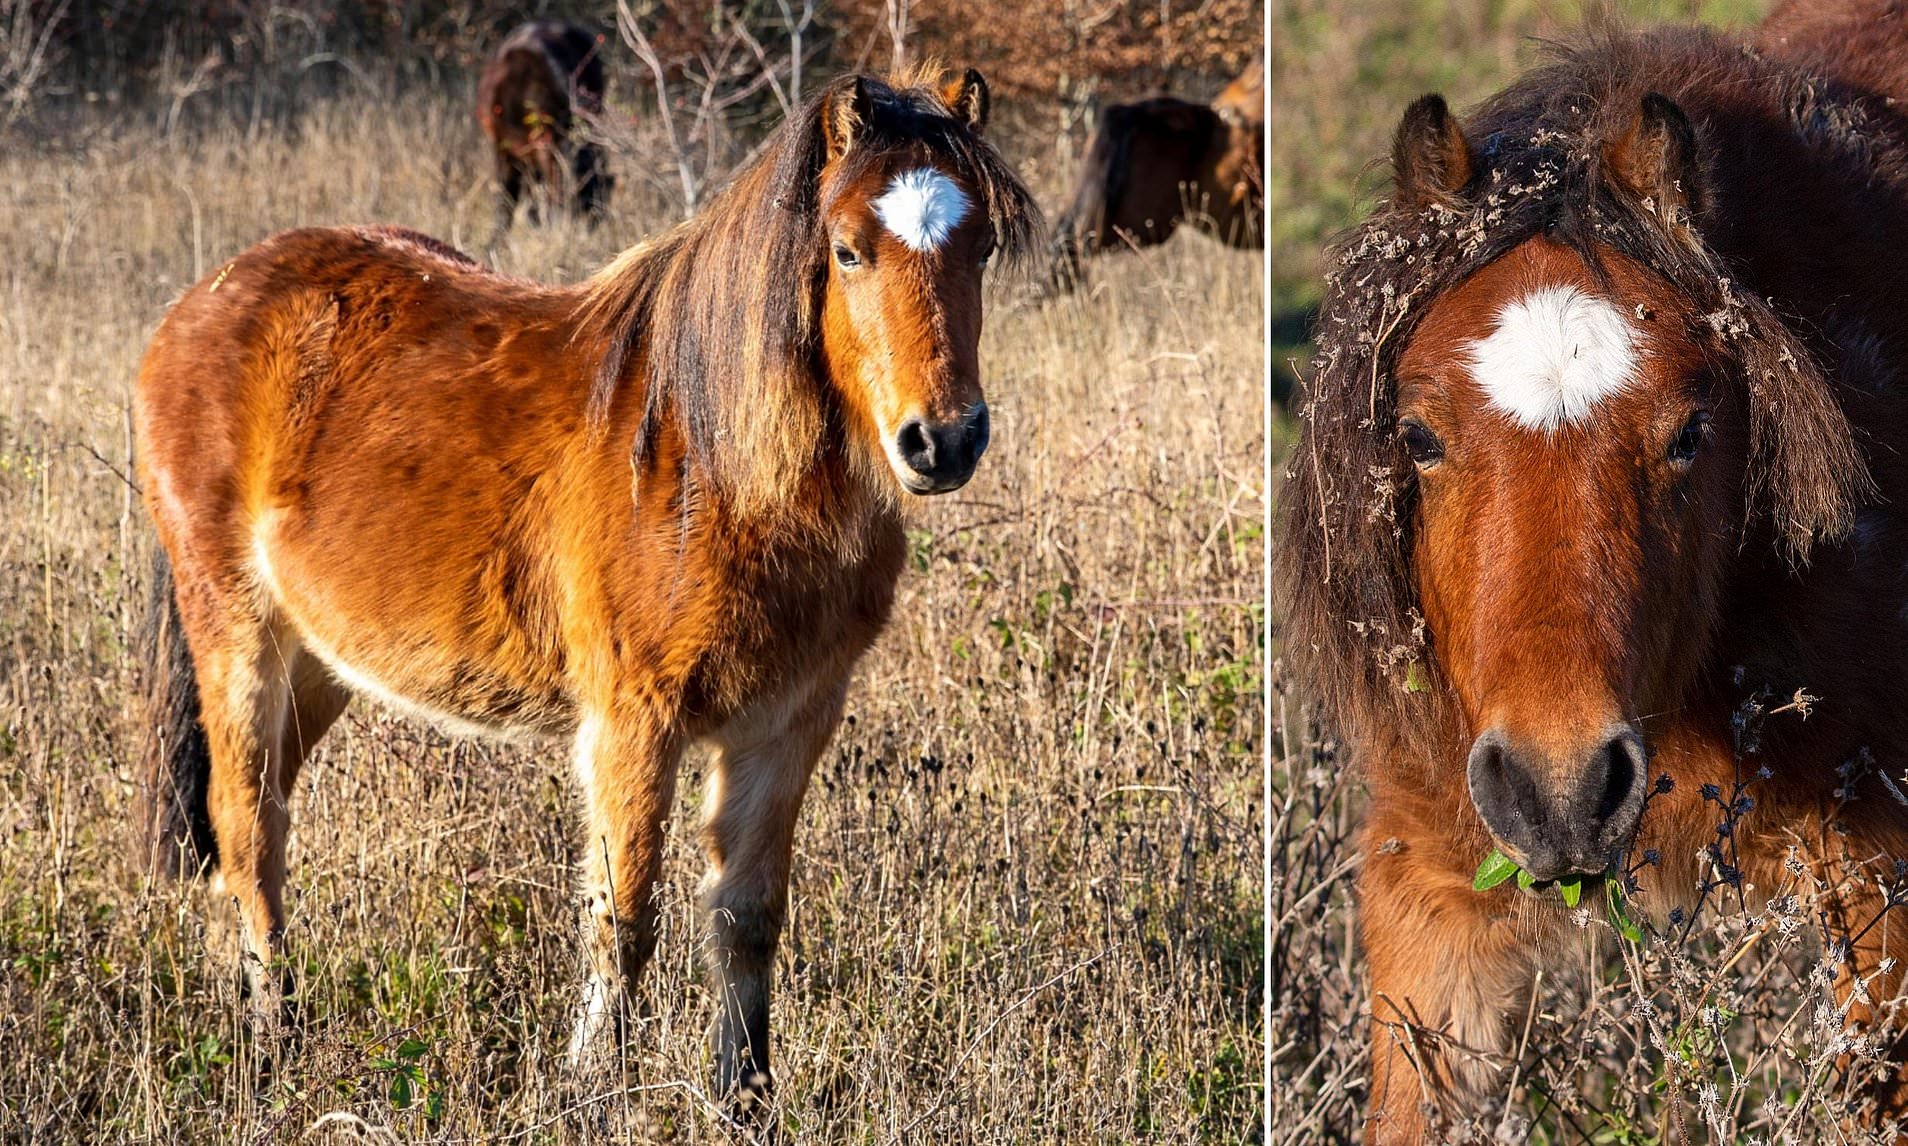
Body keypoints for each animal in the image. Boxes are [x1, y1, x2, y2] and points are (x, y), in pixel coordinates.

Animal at [134, 66, 1037, 1118]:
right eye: (848, 249)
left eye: (981, 246)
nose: (943, 440)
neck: (715, 463)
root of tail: (203, 303)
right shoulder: (633, 723)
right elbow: (625, 917)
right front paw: (590, 1087)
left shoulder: (790, 721)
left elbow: (747, 916)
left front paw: (744, 1096)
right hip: (237, 634)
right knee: (246, 826)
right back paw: (275, 1038)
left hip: (320, 662)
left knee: (256, 816)